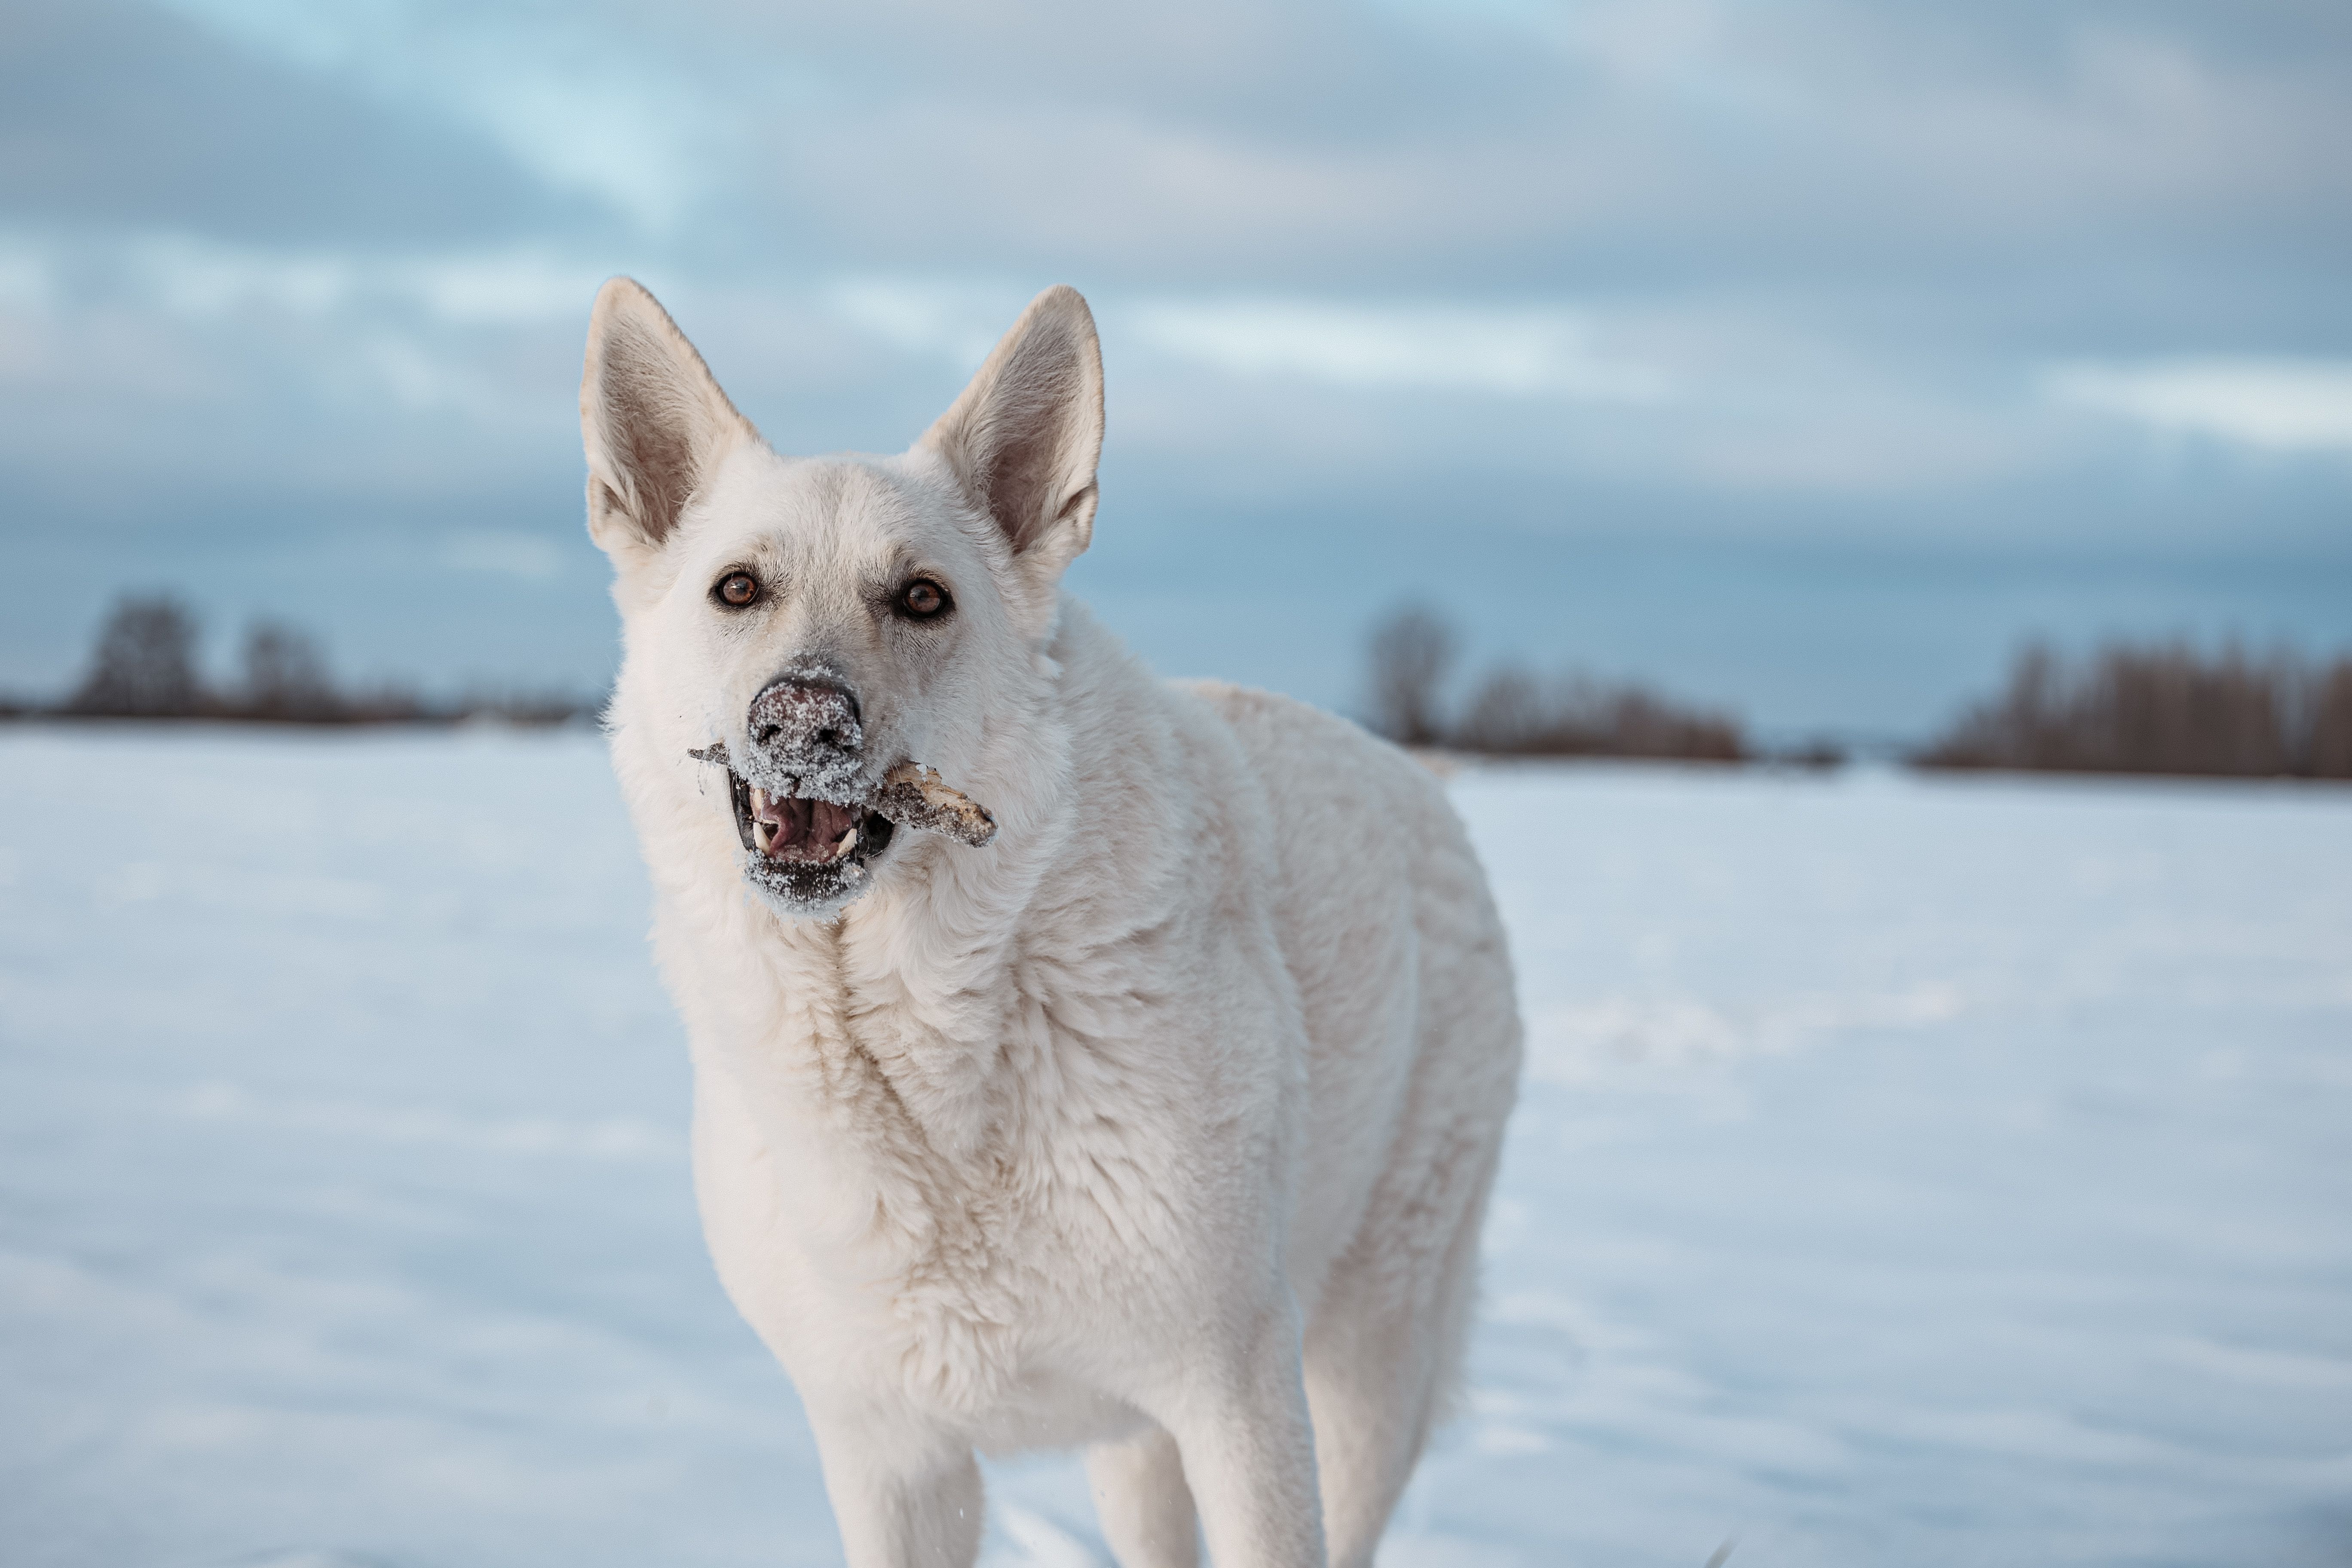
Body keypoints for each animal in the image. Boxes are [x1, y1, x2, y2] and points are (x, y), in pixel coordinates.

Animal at [580, 278, 1522, 1568]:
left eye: (922, 598)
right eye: (738, 590)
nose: (803, 719)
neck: (930, 1038)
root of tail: (1414, 779)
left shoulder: (1238, 1392)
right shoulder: (890, 1456)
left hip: (1370, 1365)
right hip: (1137, 1446)